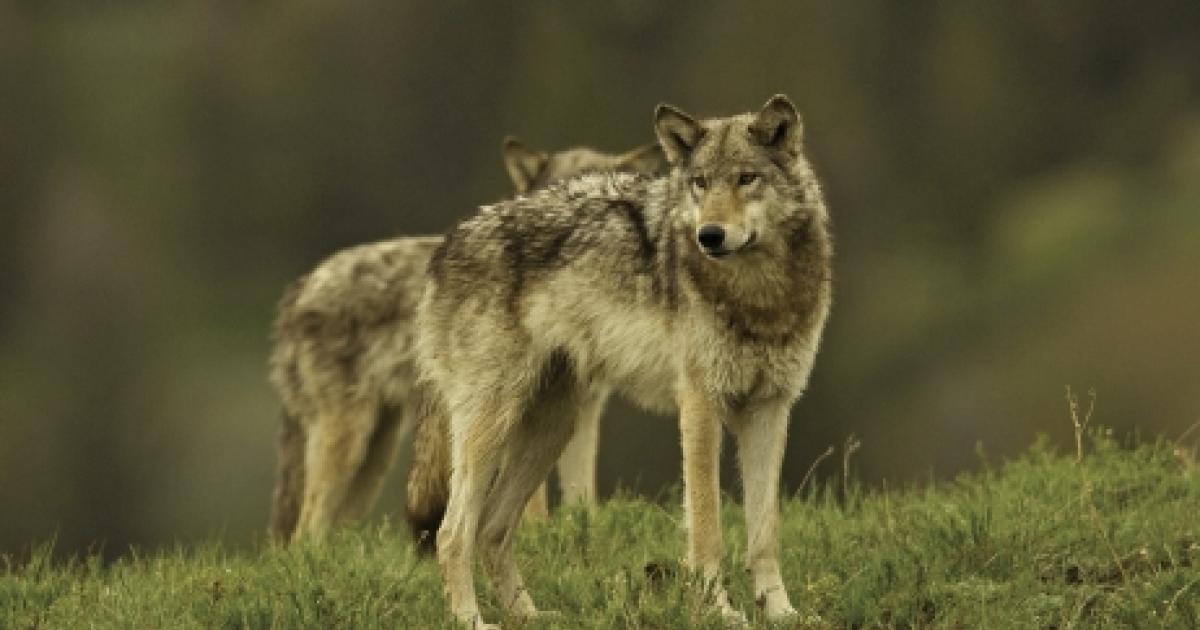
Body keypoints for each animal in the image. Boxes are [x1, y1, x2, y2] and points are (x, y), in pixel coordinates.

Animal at [267, 138, 664, 543]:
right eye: (557, 194)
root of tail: (300, 288)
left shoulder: (583, 412)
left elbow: (582, 500)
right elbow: (532, 506)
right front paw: (534, 537)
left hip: (375, 457)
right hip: (350, 443)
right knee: (305, 529)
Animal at [410, 95, 832, 628]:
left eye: (745, 178)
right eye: (700, 183)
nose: (709, 236)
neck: (758, 293)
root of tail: (446, 243)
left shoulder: (770, 409)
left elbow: (764, 533)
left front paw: (781, 613)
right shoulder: (700, 406)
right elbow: (707, 527)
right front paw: (717, 611)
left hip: (553, 428)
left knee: (491, 529)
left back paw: (533, 616)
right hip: (493, 425)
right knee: (452, 533)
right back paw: (471, 620)